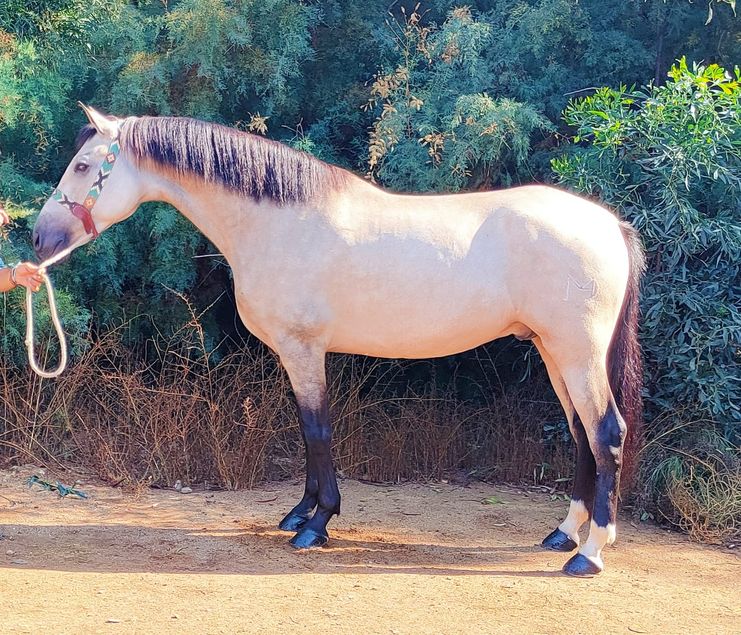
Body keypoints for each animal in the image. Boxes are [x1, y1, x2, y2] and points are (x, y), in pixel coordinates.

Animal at [33, 104, 644, 577]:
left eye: (83, 165)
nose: (39, 238)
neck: (277, 223)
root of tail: (609, 225)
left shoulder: (304, 349)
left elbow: (318, 430)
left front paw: (317, 524)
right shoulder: (294, 354)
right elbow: (306, 432)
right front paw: (300, 513)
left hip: (576, 353)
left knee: (606, 433)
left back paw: (589, 553)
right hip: (552, 351)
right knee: (580, 434)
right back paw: (563, 533)